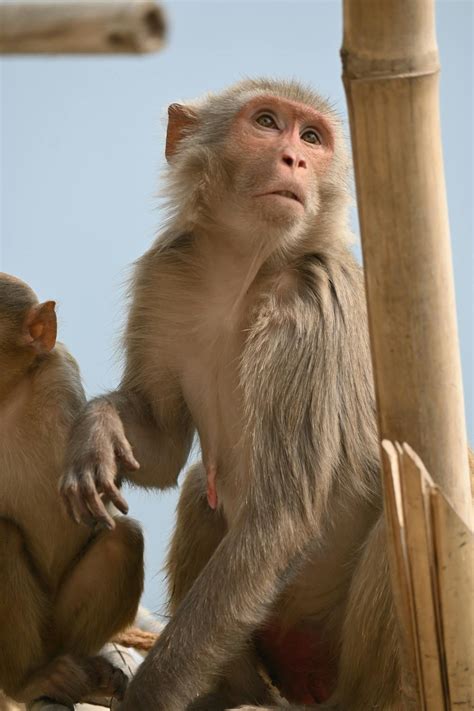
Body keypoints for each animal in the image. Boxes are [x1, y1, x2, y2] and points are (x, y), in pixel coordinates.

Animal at [0, 273, 144, 708]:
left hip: (54, 625)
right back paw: (28, 680)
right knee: (3, 537)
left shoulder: (58, 370)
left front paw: (97, 450)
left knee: (122, 541)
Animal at [60, 77, 421, 710]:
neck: (245, 269)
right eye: (267, 122)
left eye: (312, 137)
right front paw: (96, 431)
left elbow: (281, 516)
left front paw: (150, 695)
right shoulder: (168, 272)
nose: (295, 158)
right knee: (199, 490)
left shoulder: (309, 306)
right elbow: (163, 449)